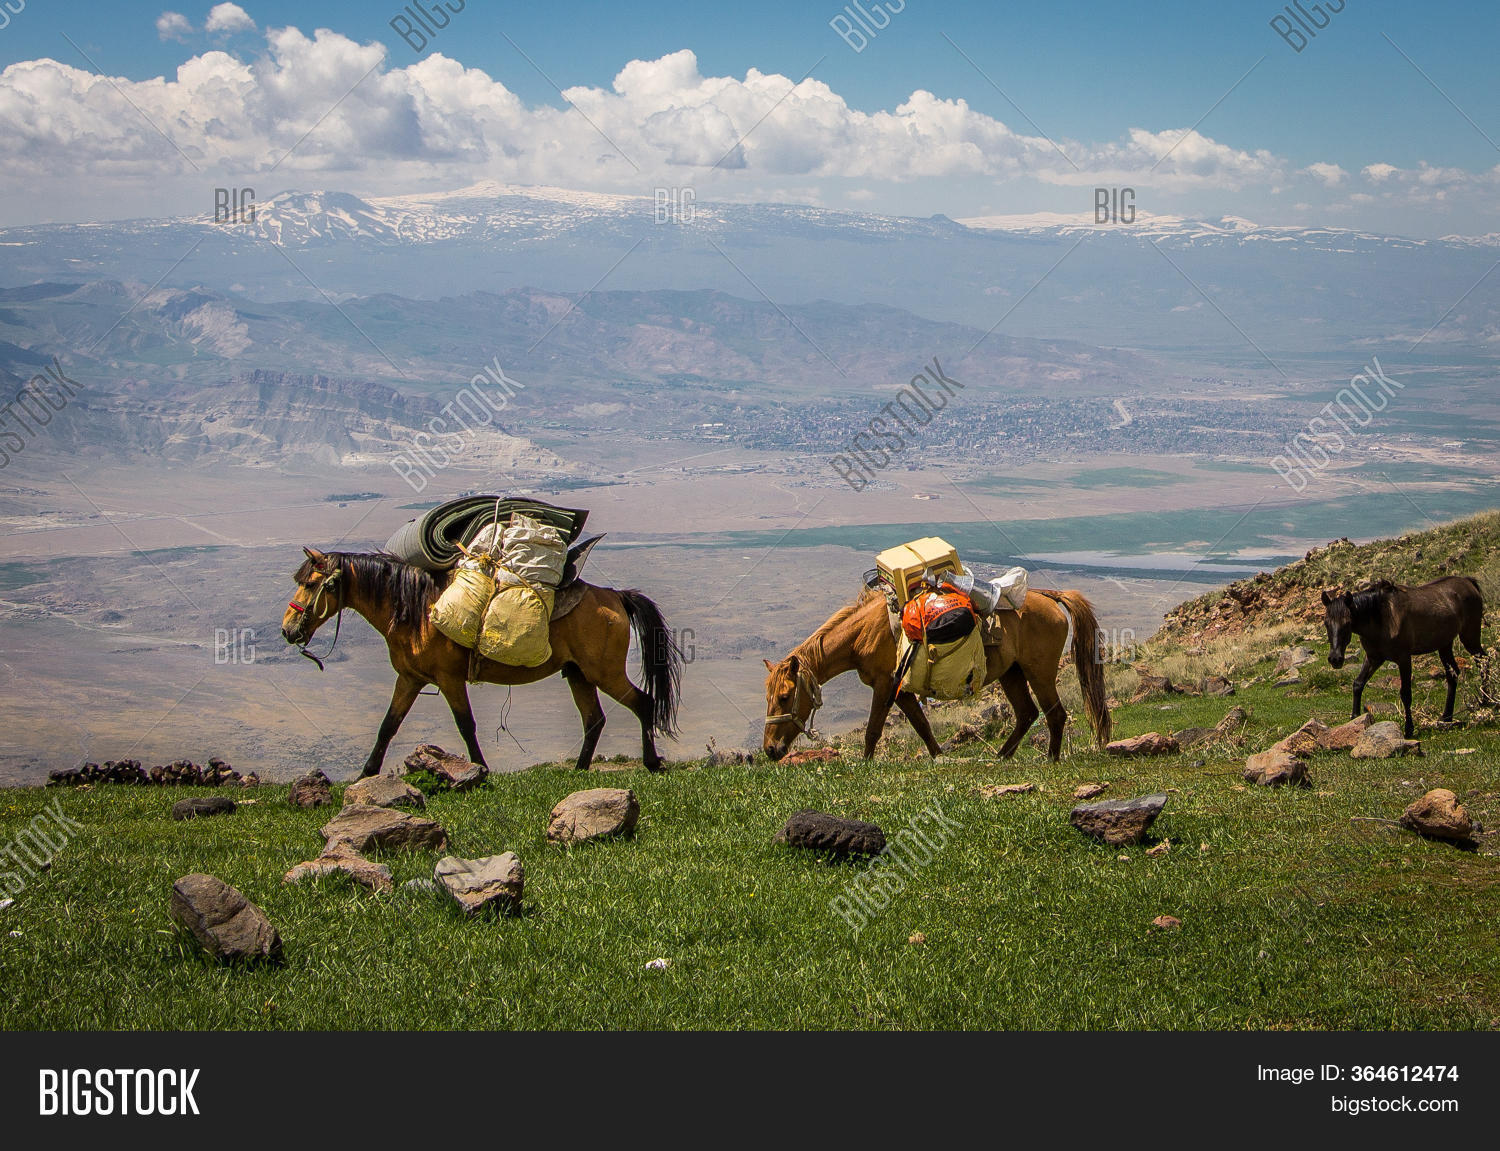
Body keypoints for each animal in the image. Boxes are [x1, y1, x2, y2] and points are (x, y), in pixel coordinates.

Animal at [280, 548, 682, 776]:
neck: (417, 612)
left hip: (604, 672)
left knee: (643, 703)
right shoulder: (409, 679)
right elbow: (388, 726)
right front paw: (366, 773)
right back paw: (579, 772)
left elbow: (466, 725)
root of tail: (616, 597)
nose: (288, 629)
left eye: (313, 584)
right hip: (578, 675)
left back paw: (650, 763)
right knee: (594, 720)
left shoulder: (449, 679)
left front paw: (481, 770)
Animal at [762, 587, 1112, 762]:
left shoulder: (884, 685)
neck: (864, 633)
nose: (770, 749)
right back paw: (1001, 757)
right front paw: (938, 756)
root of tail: (1051, 599)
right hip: (1012, 673)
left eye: (784, 696)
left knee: (1055, 714)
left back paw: (1050, 759)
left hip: (1039, 672)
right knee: (1027, 714)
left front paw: (865, 765)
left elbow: (874, 729)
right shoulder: (901, 691)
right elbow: (922, 726)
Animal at [1322, 575, 1486, 738]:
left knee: (1483, 661)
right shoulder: (1374, 658)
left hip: (1469, 637)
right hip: (1444, 645)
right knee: (1453, 674)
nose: (1335, 659)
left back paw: (1485, 701)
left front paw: (1409, 729)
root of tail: (1468, 582)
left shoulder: (1404, 659)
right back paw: (1446, 717)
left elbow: (1406, 693)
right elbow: (1358, 684)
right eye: (1326, 623)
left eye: (1347, 623)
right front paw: (1354, 717)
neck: (1382, 618)